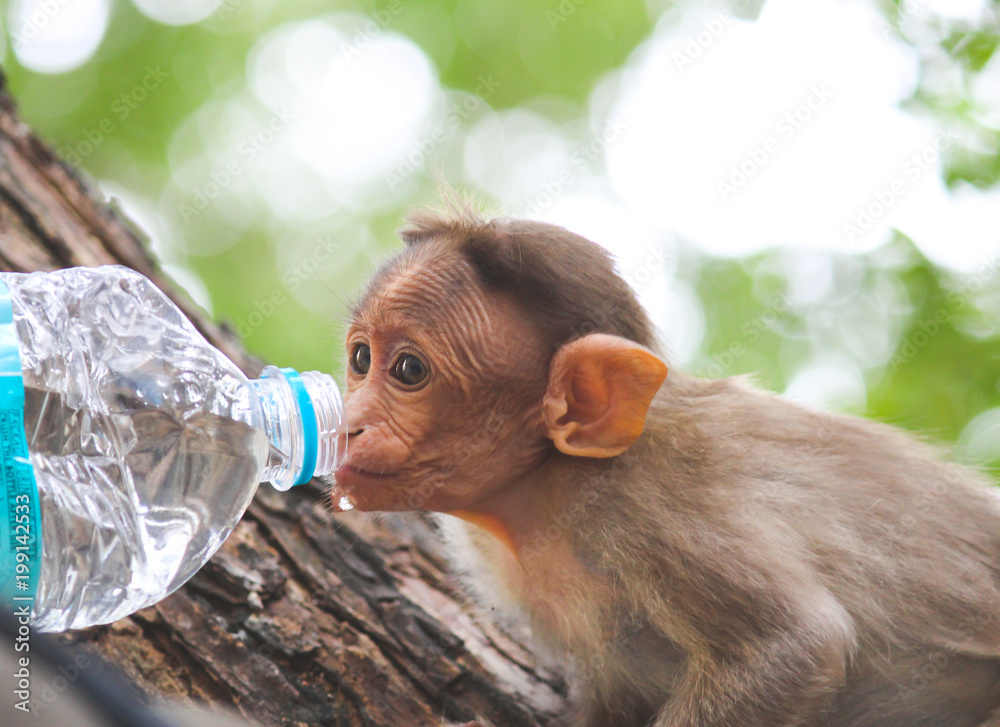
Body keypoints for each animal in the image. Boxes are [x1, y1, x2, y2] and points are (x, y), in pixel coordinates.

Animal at [333, 203, 1000, 727]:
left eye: (409, 370)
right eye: (362, 358)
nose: (346, 425)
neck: (542, 490)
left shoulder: (647, 504)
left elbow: (791, 650)